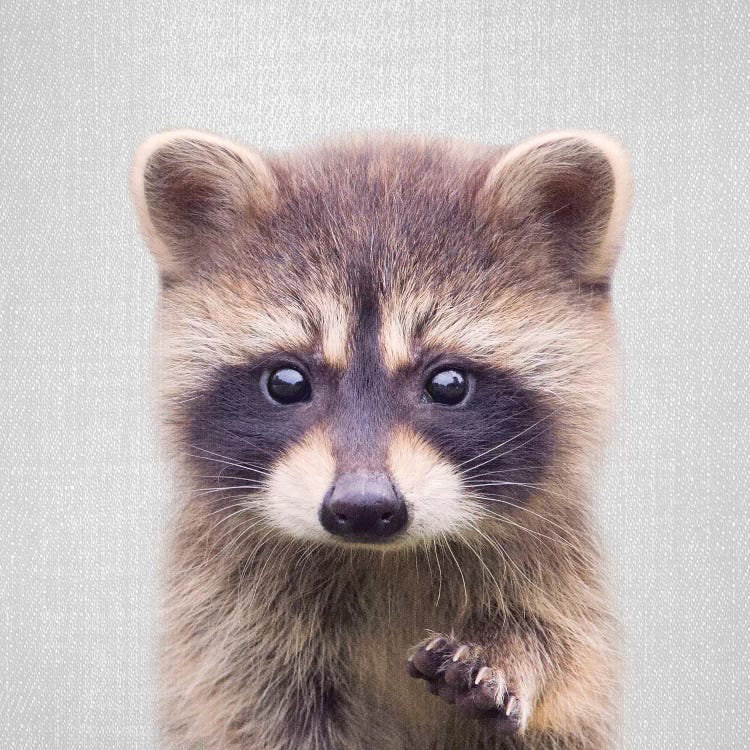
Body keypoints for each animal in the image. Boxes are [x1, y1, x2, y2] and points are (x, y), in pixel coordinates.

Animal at [131, 128, 632, 750]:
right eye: (286, 382)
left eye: (448, 383)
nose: (364, 506)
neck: (383, 559)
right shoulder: (226, 622)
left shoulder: (561, 573)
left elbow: (566, 656)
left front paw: (515, 657)